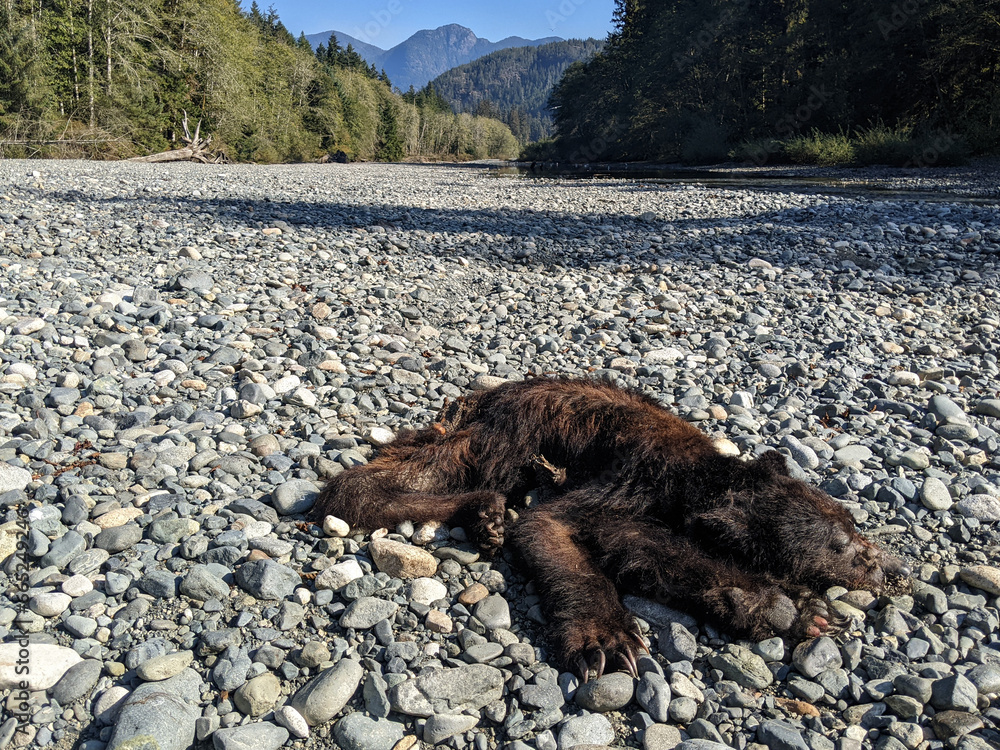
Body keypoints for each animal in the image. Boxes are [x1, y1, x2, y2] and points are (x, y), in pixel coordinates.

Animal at [312, 377, 910, 679]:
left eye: (853, 527)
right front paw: (605, 636)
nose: (891, 568)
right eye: (843, 546)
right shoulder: (632, 473)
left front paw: (787, 606)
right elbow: (551, 527)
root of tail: (469, 401)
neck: (695, 477)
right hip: (501, 434)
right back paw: (482, 509)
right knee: (376, 485)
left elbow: (641, 544)